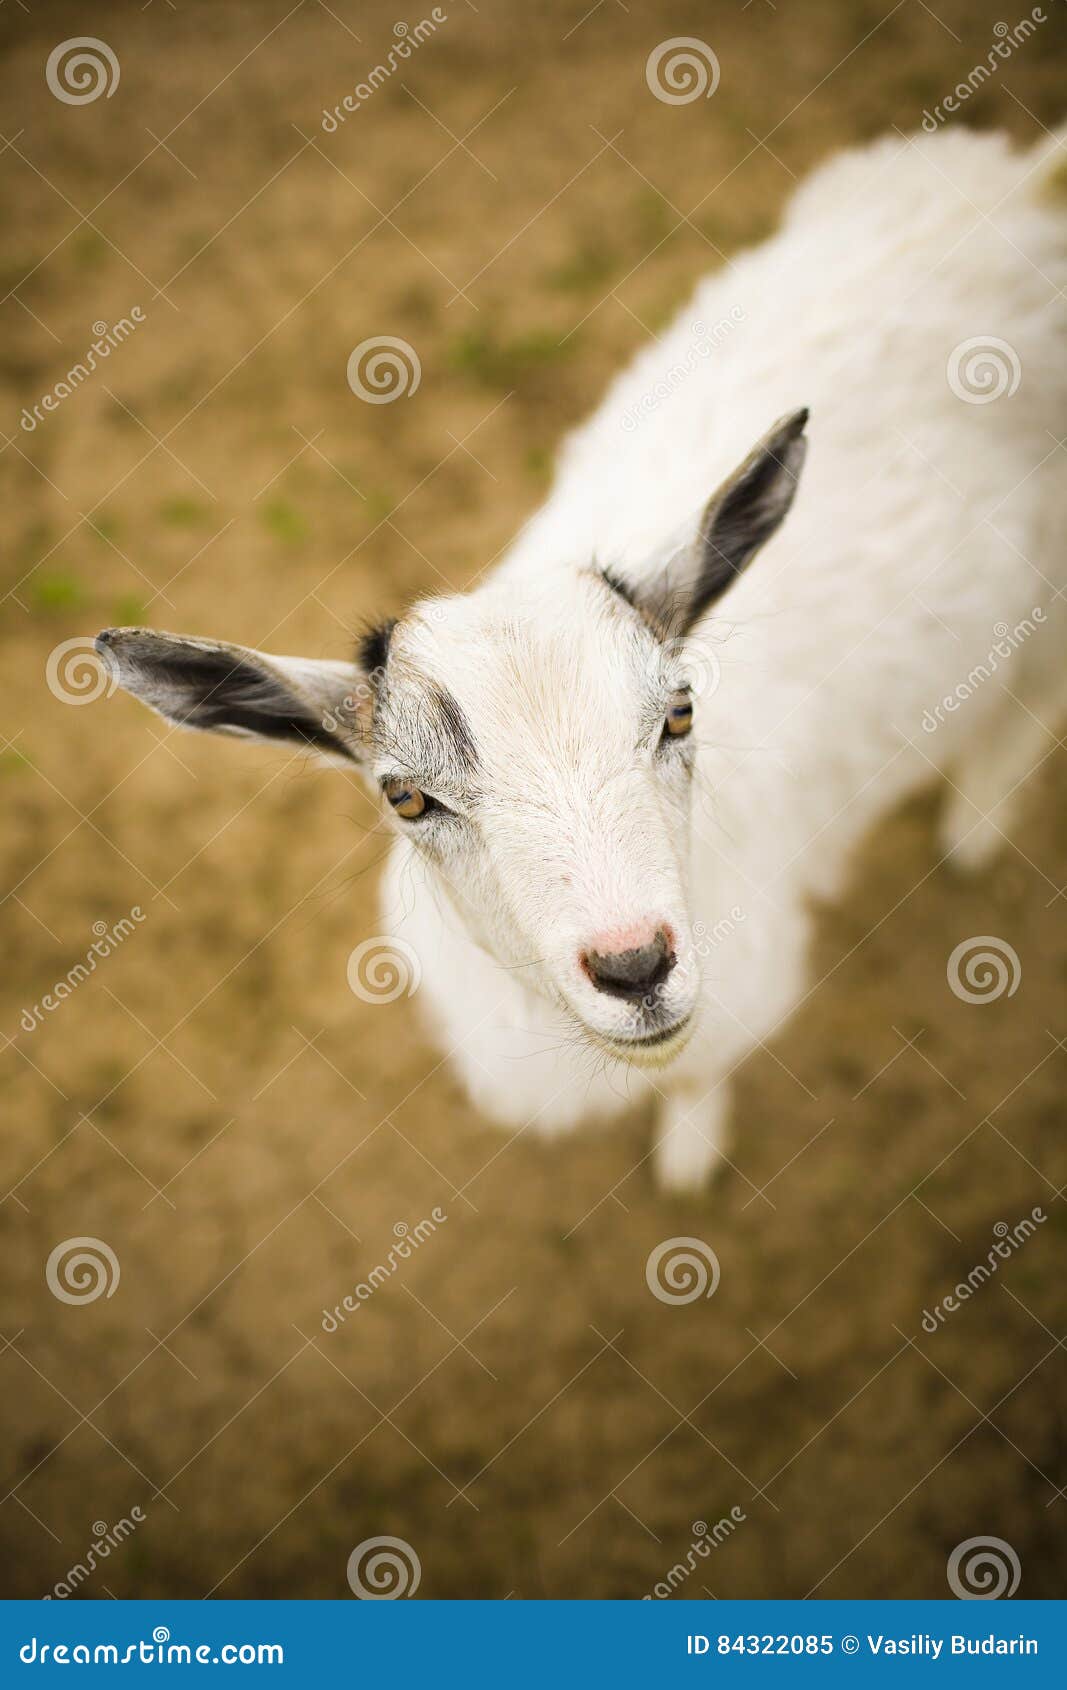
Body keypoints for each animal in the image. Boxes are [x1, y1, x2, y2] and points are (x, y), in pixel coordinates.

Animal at [97, 125, 1067, 1191]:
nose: (635, 969)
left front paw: (689, 1154)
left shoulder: (741, 984)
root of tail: (1029, 187)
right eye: (405, 796)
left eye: (679, 713)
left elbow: (698, 1073)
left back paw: (976, 825)